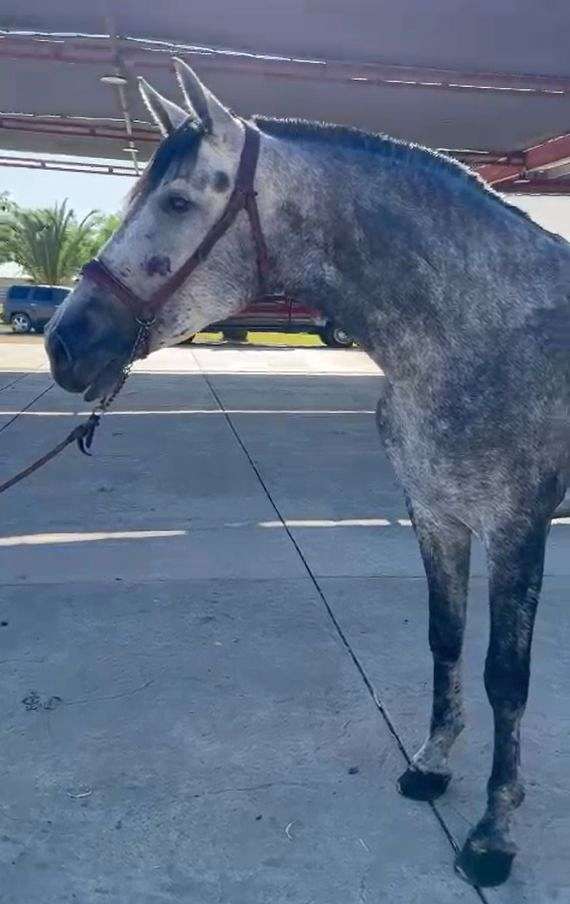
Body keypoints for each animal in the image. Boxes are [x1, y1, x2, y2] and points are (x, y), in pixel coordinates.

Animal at [45, 58, 570, 887]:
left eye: (177, 199)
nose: (64, 343)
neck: (479, 328)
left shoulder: (518, 527)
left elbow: (505, 676)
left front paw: (493, 835)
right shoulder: (436, 515)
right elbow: (444, 637)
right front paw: (432, 763)